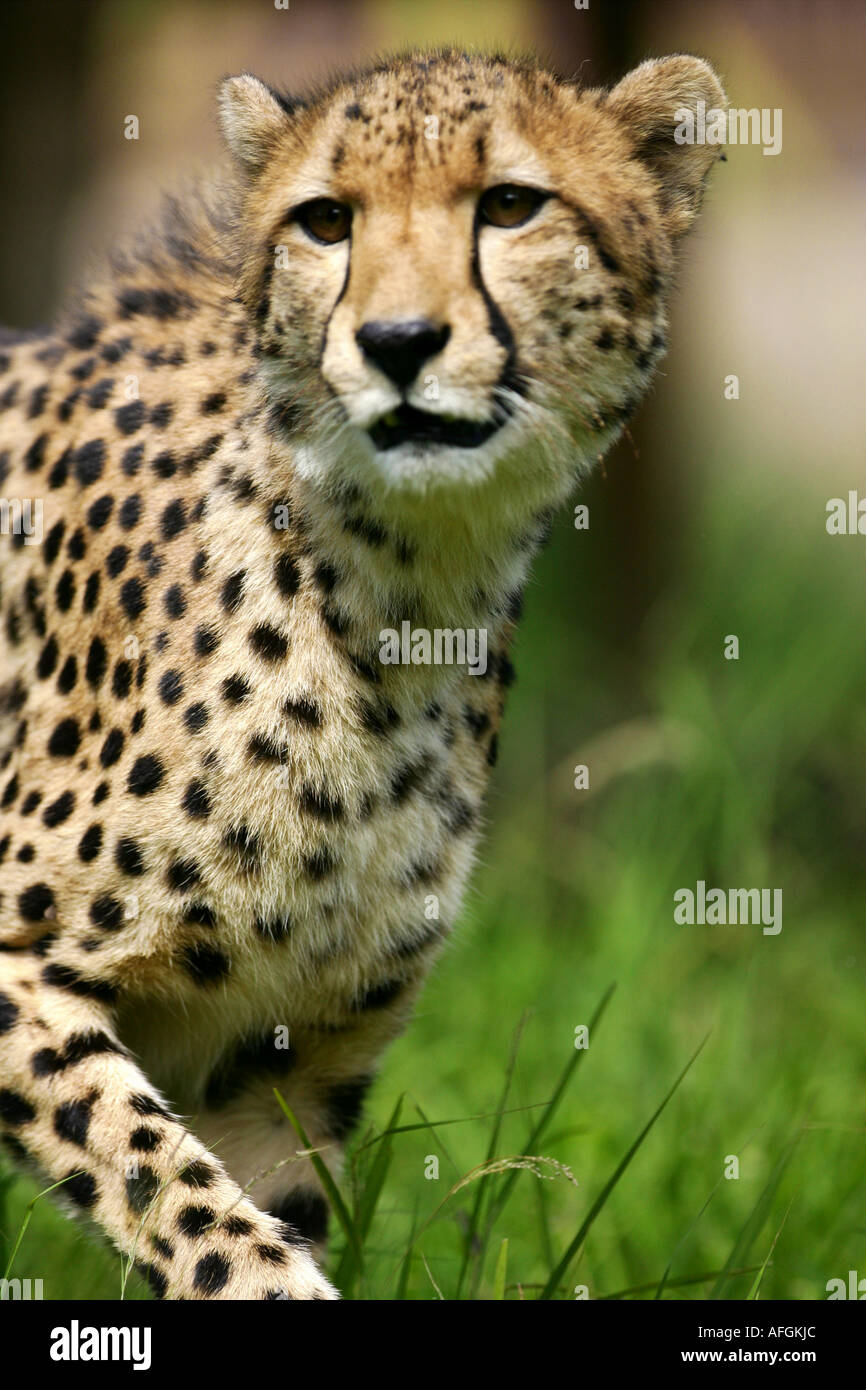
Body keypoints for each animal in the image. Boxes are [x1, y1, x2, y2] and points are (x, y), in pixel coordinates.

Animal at [0, 47, 726, 1300]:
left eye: (509, 204)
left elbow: (232, 1207)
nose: (395, 341)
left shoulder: (272, 1068)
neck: (404, 596)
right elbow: (188, 1207)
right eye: (325, 220)